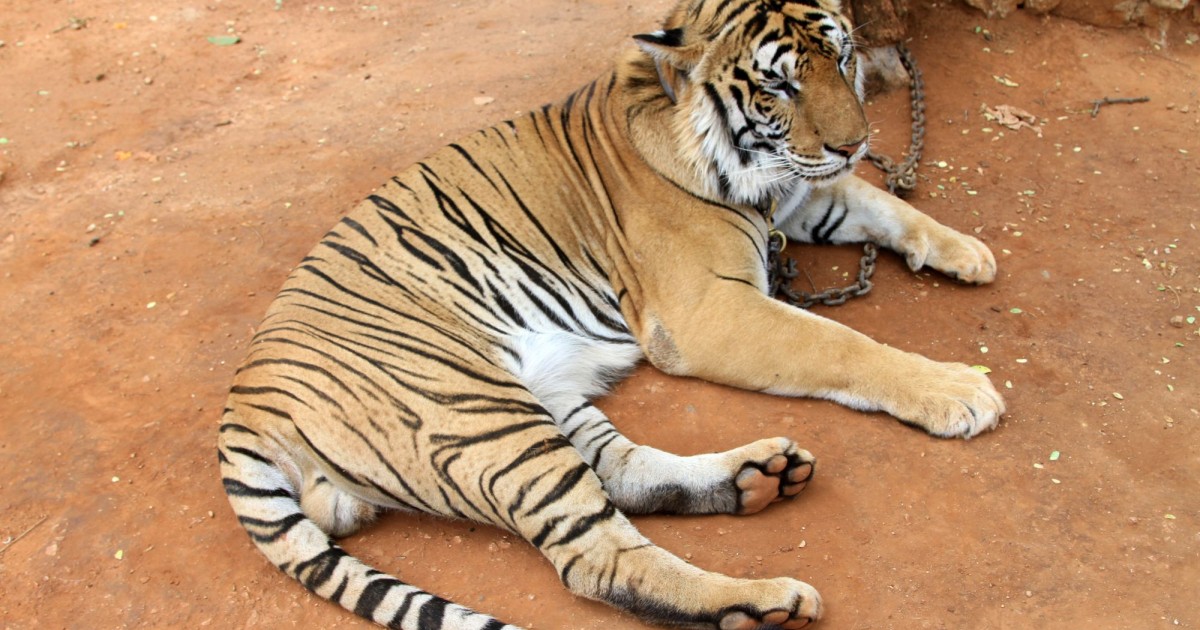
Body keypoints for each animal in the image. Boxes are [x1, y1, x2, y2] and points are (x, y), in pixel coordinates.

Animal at [217, 0, 1005, 628]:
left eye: (841, 58)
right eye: (779, 84)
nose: (857, 142)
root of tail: (241, 407)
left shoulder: (801, 197)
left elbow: (879, 203)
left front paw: (967, 252)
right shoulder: (706, 311)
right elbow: (841, 342)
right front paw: (958, 391)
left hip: (540, 404)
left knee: (620, 474)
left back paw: (758, 477)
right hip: (478, 414)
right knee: (596, 558)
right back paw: (760, 600)